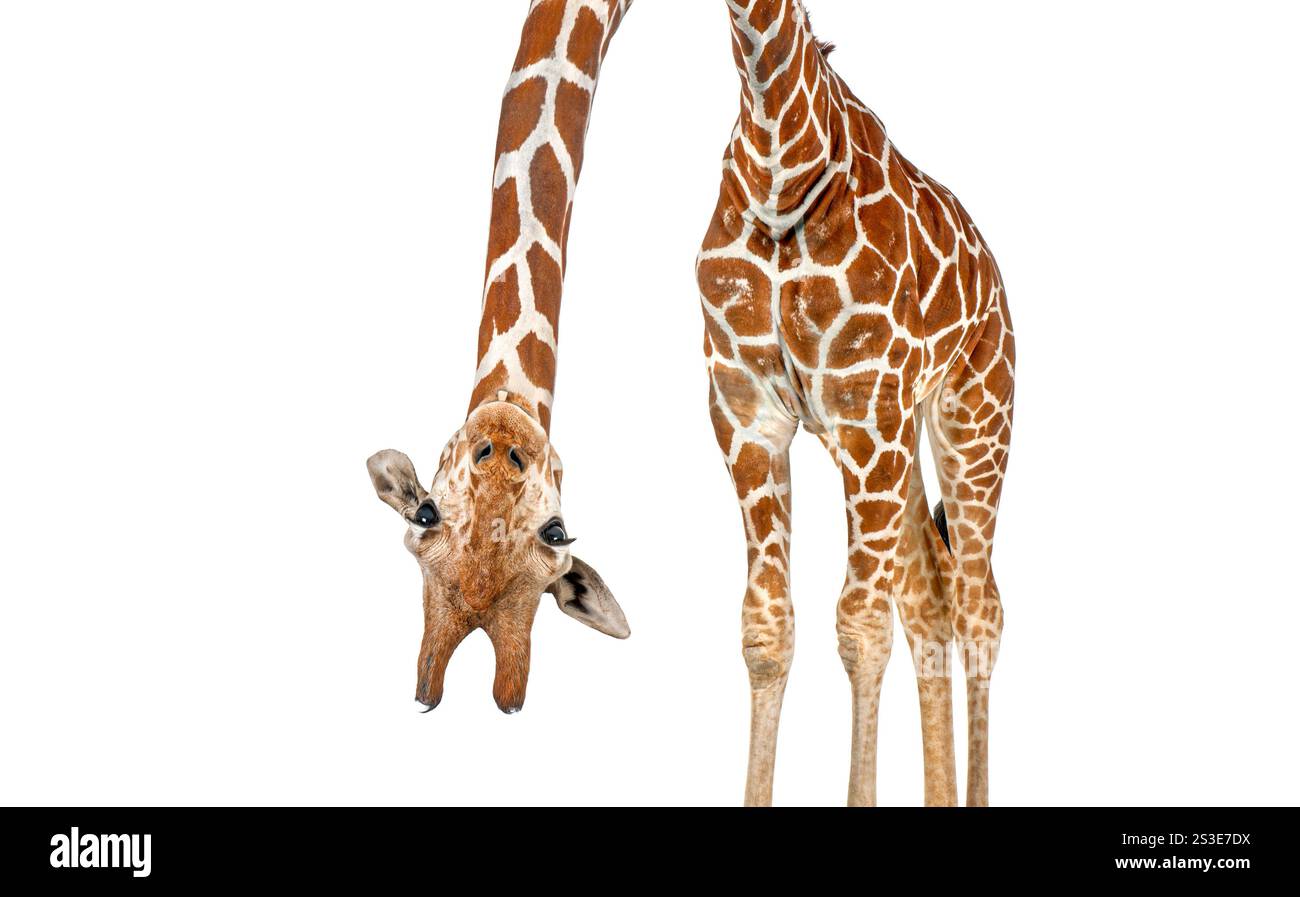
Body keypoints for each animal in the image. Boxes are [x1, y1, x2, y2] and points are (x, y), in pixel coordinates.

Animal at [699, 0, 1014, 805]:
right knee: (931, 599)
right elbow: (767, 628)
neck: (779, 164)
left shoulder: (865, 408)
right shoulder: (747, 415)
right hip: (896, 439)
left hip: (973, 414)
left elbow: (861, 628)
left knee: (979, 606)